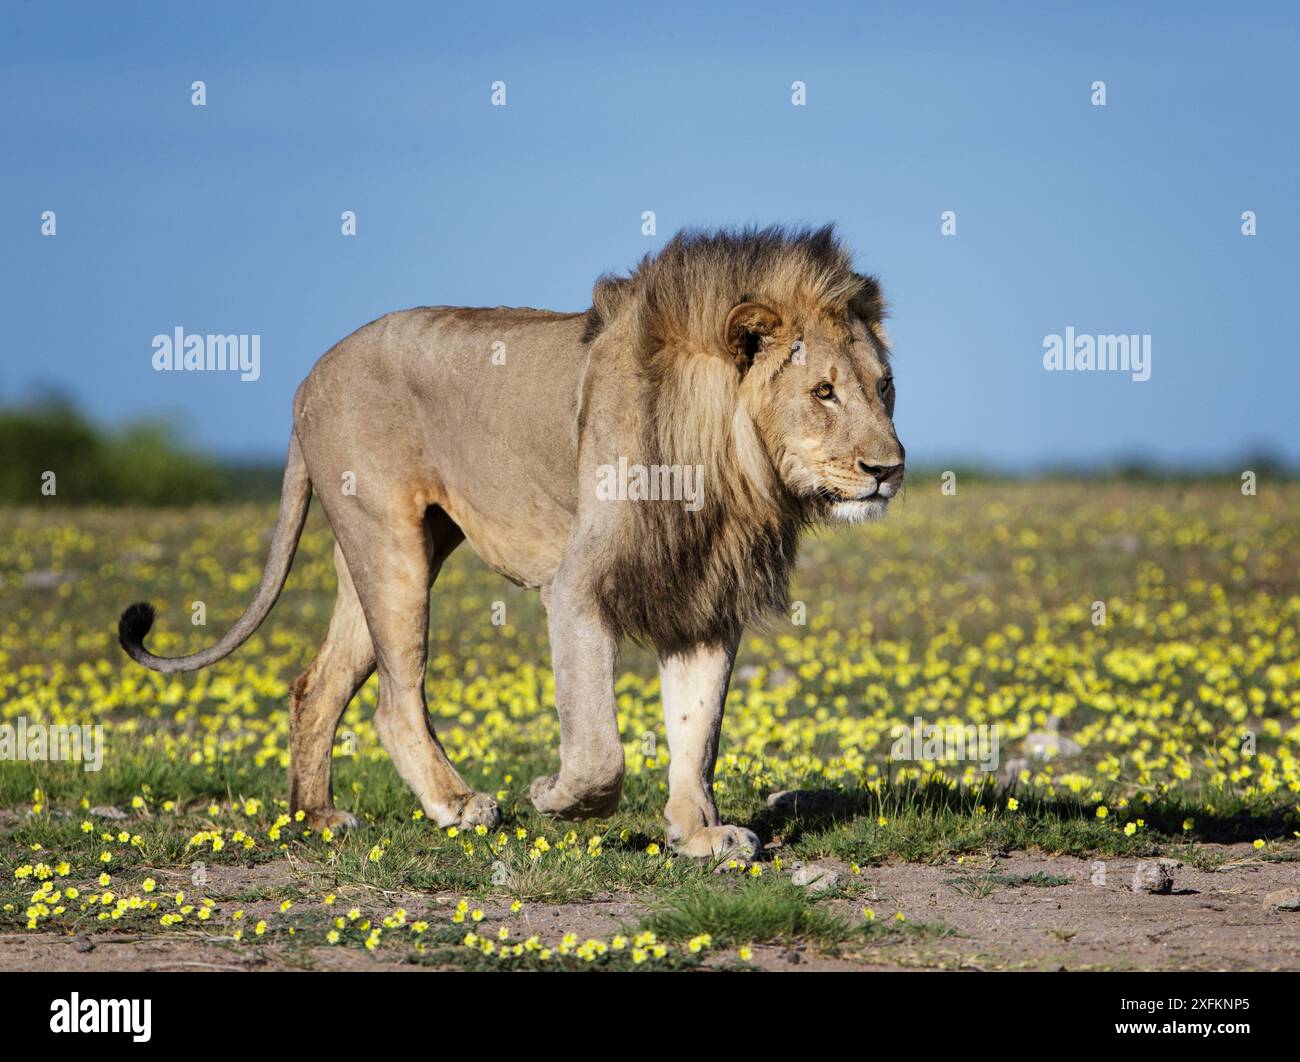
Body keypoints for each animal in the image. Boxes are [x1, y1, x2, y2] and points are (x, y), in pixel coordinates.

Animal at [118, 225, 904, 860]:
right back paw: (459, 805)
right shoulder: (577, 585)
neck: (730, 475)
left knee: (318, 687)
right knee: (394, 702)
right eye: (824, 392)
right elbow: (599, 748)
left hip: (379, 550)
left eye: (884, 387)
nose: (889, 469)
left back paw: (315, 818)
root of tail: (309, 378)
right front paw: (555, 796)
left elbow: (697, 728)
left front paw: (700, 833)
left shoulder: (704, 597)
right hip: (392, 547)